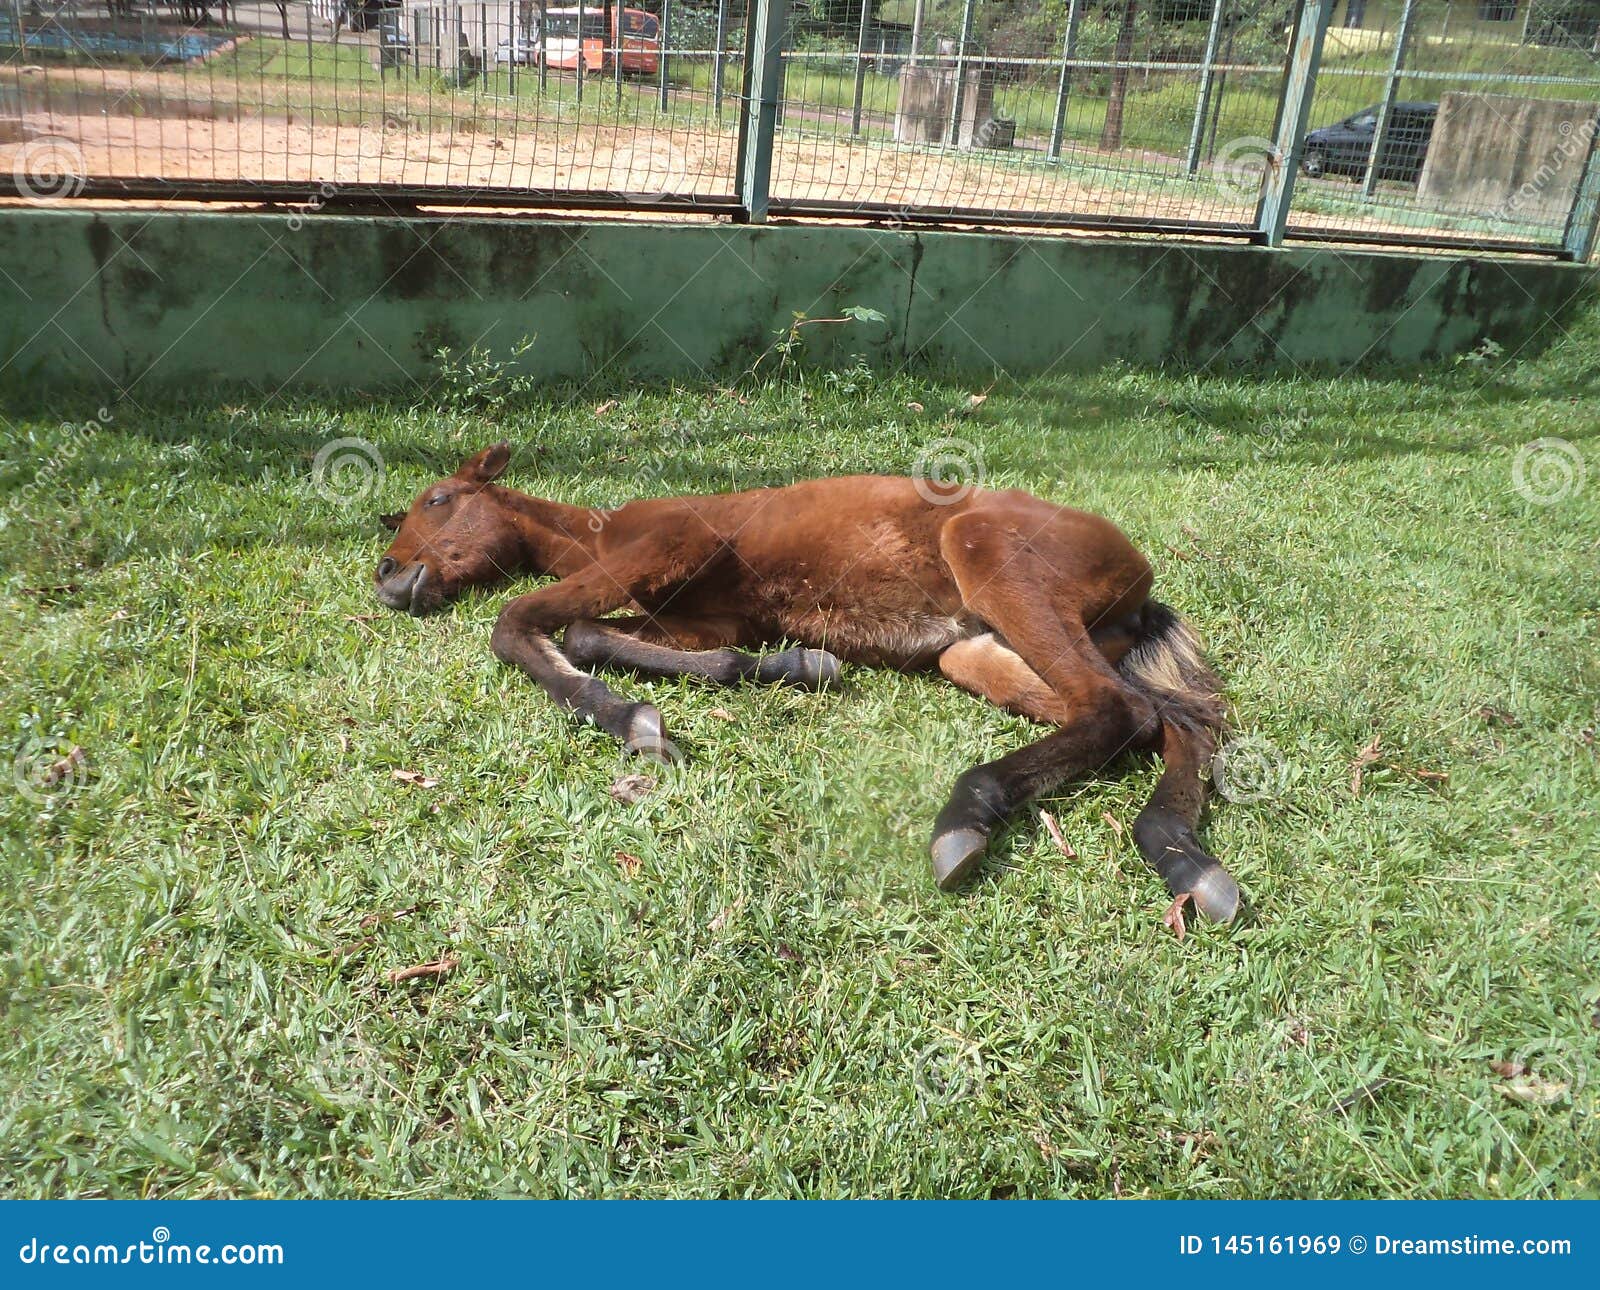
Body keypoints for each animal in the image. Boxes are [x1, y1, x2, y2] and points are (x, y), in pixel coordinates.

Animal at [374, 443, 1241, 922]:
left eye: (438, 499)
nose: (387, 576)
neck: (599, 529)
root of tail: (1139, 579)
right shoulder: (706, 622)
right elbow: (593, 635)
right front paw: (797, 666)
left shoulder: (669, 543)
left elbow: (520, 622)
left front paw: (626, 720)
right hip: (980, 651)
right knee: (1172, 721)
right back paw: (1184, 860)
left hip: (991, 557)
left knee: (1118, 709)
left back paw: (969, 814)